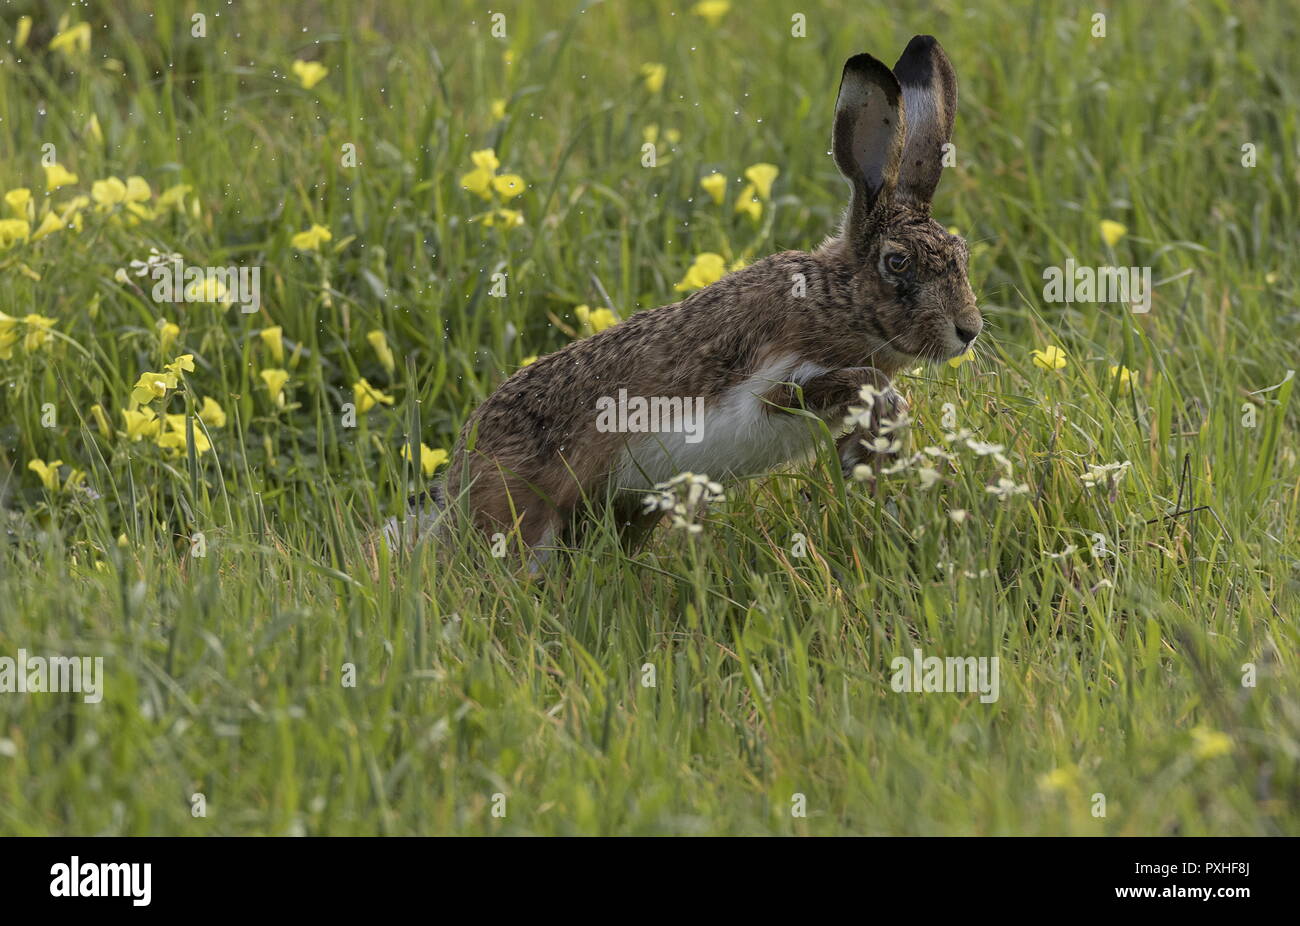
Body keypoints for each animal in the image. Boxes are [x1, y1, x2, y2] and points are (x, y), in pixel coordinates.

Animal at [383, 35, 981, 557]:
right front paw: (875, 433)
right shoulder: (774, 385)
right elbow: (862, 382)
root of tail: (460, 476)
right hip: (527, 515)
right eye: (897, 262)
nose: (968, 331)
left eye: (961, 254)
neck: (839, 300)